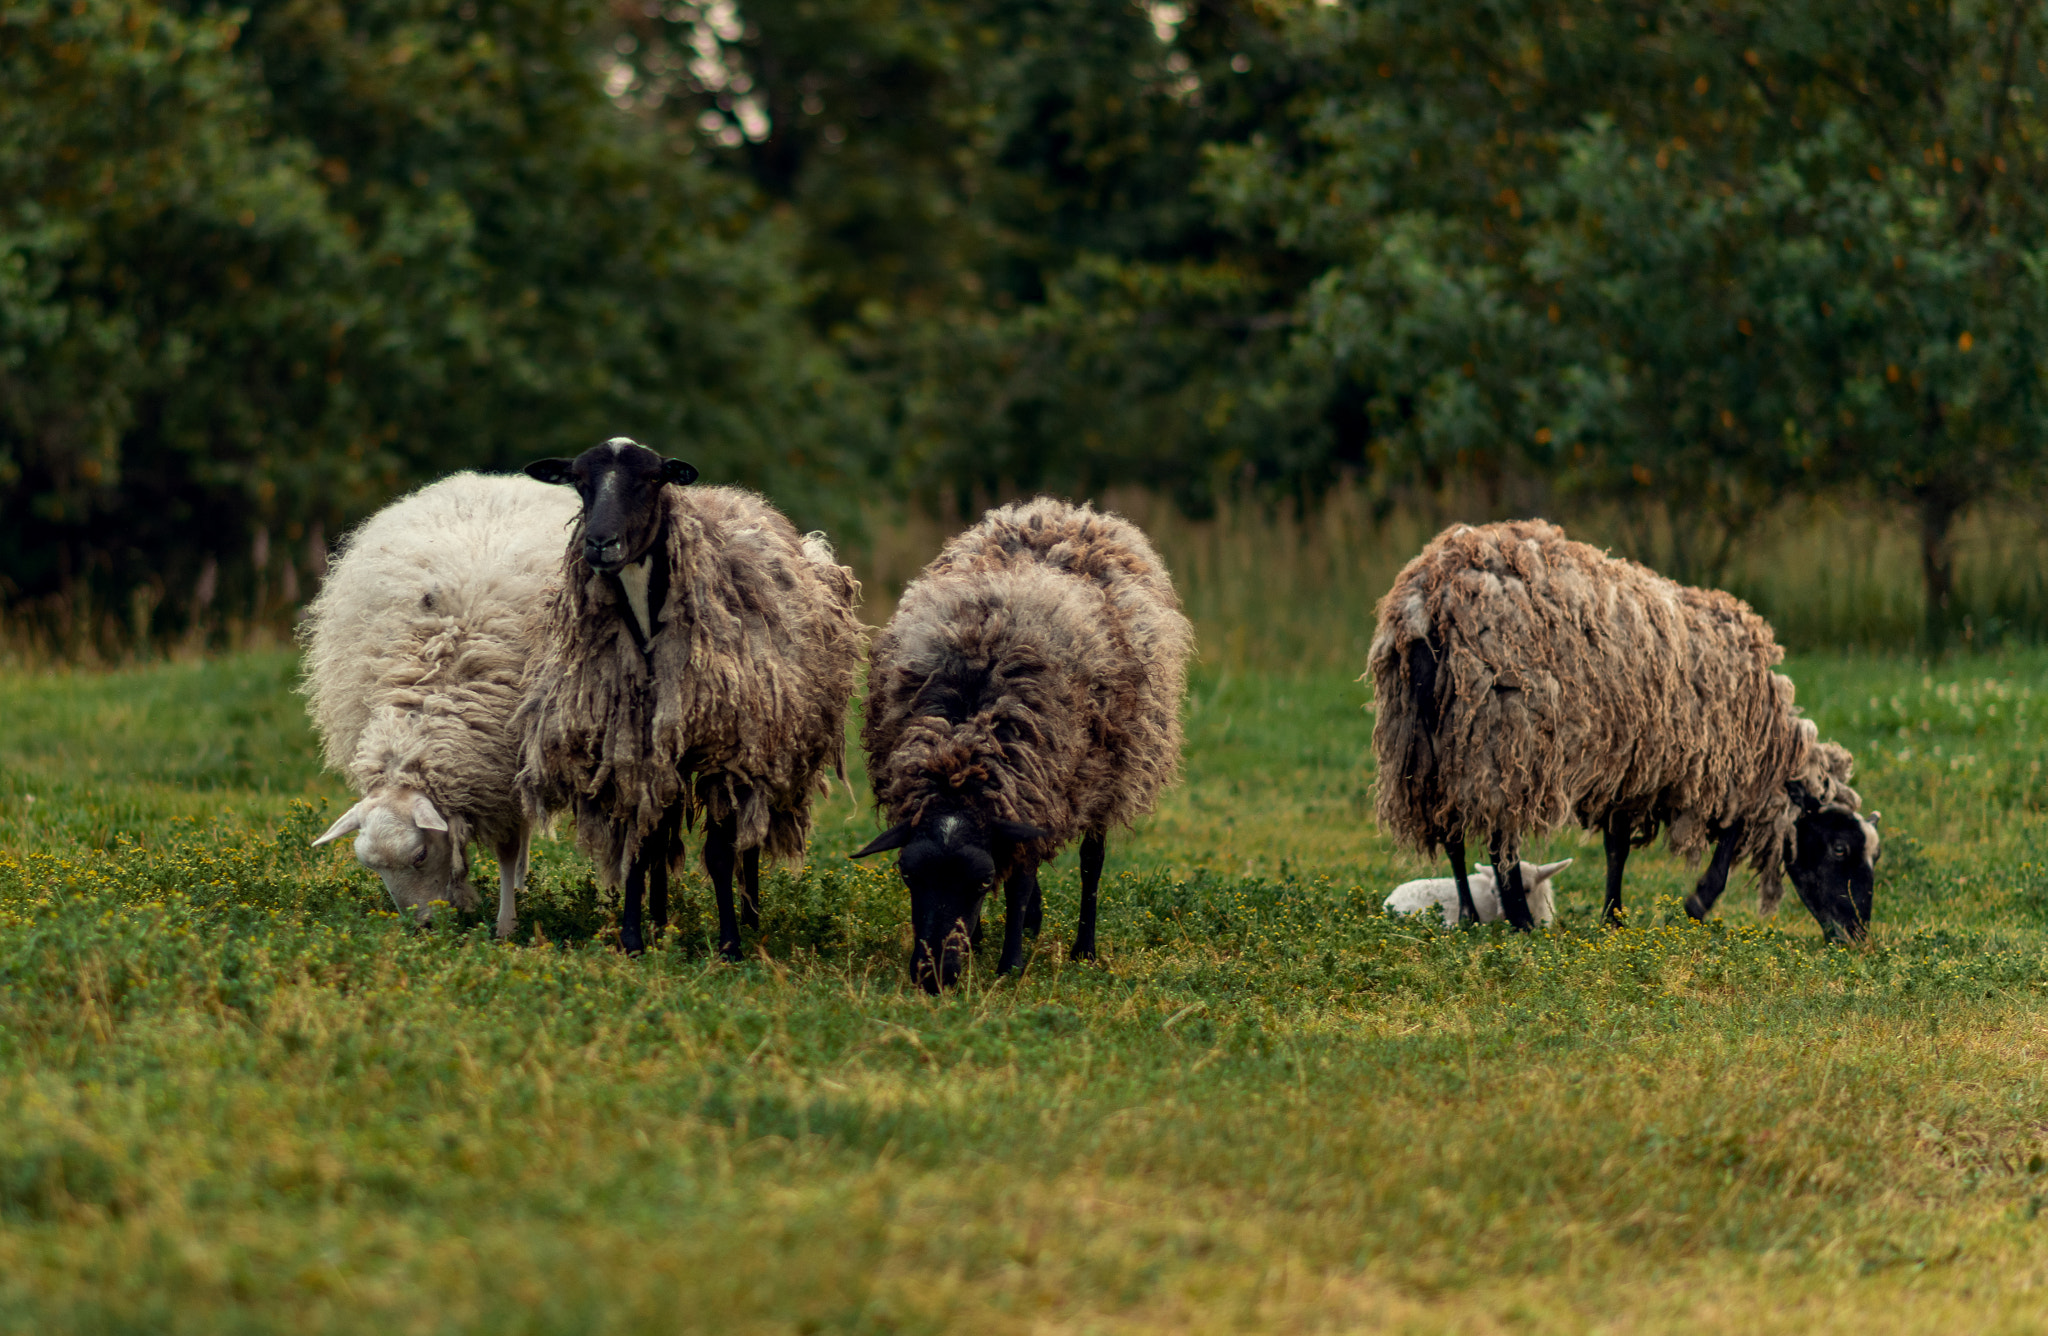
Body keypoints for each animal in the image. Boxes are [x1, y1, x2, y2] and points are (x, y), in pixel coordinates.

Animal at [301, 471, 578, 937]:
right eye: (371, 867)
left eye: (419, 855)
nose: (424, 927)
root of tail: (495, 480)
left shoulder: (500, 768)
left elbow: (506, 847)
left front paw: (505, 926)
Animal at [515, 438, 863, 959]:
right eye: (579, 481)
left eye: (651, 479)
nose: (599, 543)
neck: (648, 628)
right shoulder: (636, 749)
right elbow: (641, 845)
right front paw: (634, 938)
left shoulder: (727, 751)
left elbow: (720, 854)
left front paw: (730, 944)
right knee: (664, 833)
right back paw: (662, 919)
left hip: (760, 746)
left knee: (748, 839)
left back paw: (751, 917)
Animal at [853, 497, 1194, 992]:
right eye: (908, 876)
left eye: (980, 882)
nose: (934, 977)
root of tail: (1064, 511)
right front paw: (982, 940)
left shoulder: (1038, 789)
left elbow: (1018, 882)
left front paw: (1010, 964)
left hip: (1104, 776)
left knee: (1091, 861)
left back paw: (1084, 949)